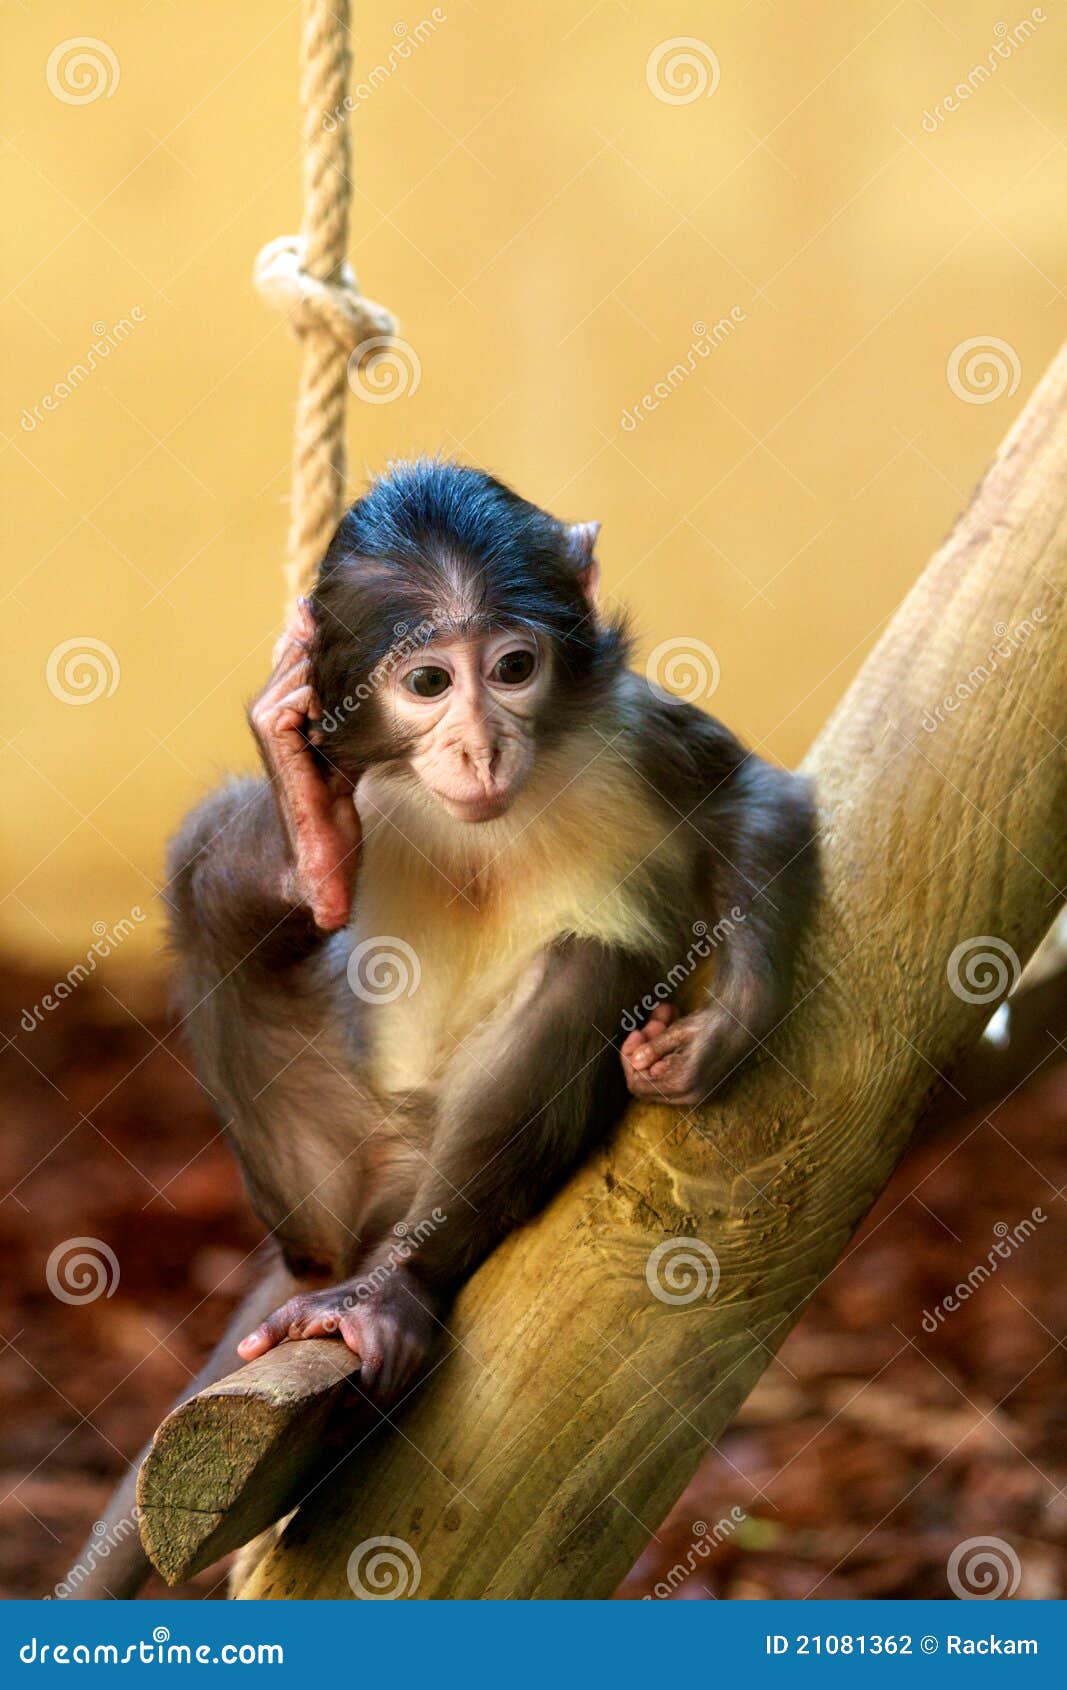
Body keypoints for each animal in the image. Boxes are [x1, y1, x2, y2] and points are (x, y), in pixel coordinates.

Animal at [61, 459, 816, 1597]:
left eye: (511, 668)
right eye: (426, 684)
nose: (477, 741)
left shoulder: (630, 726)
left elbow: (747, 796)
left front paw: (726, 1023)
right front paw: (306, 814)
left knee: (589, 966)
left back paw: (396, 1288)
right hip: (319, 1167)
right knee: (210, 887)